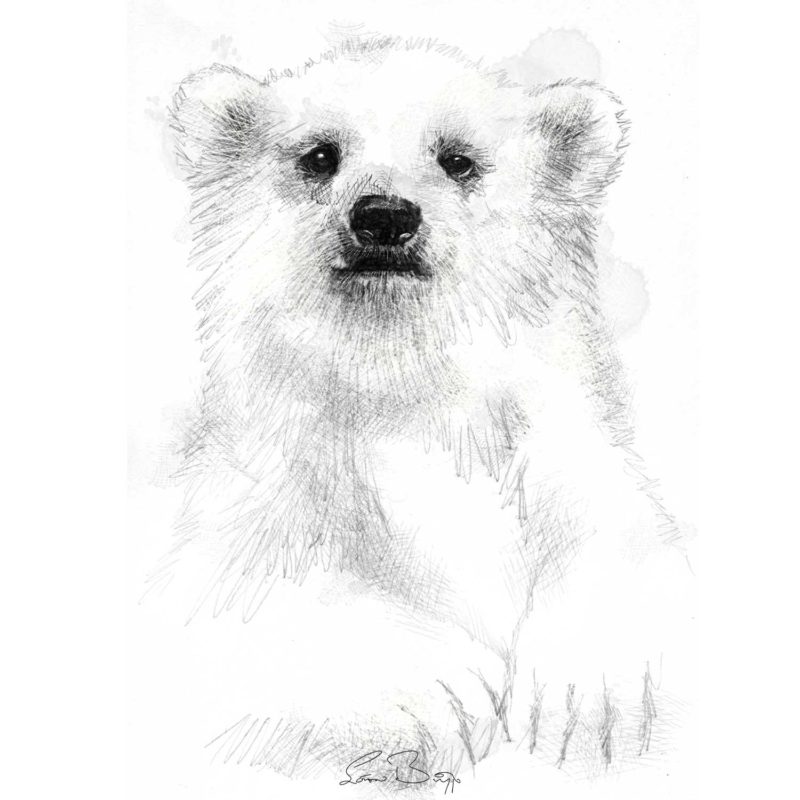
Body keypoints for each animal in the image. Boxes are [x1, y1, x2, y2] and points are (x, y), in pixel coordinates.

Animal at [151, 35, 694, 789]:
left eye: (458, 158)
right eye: (319, 154)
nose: (383, 215)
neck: (400, 384)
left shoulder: (540, 449)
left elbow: (615, 520)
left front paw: (584, 687)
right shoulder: (272, 485)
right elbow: (243, 598)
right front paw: (439, 688)